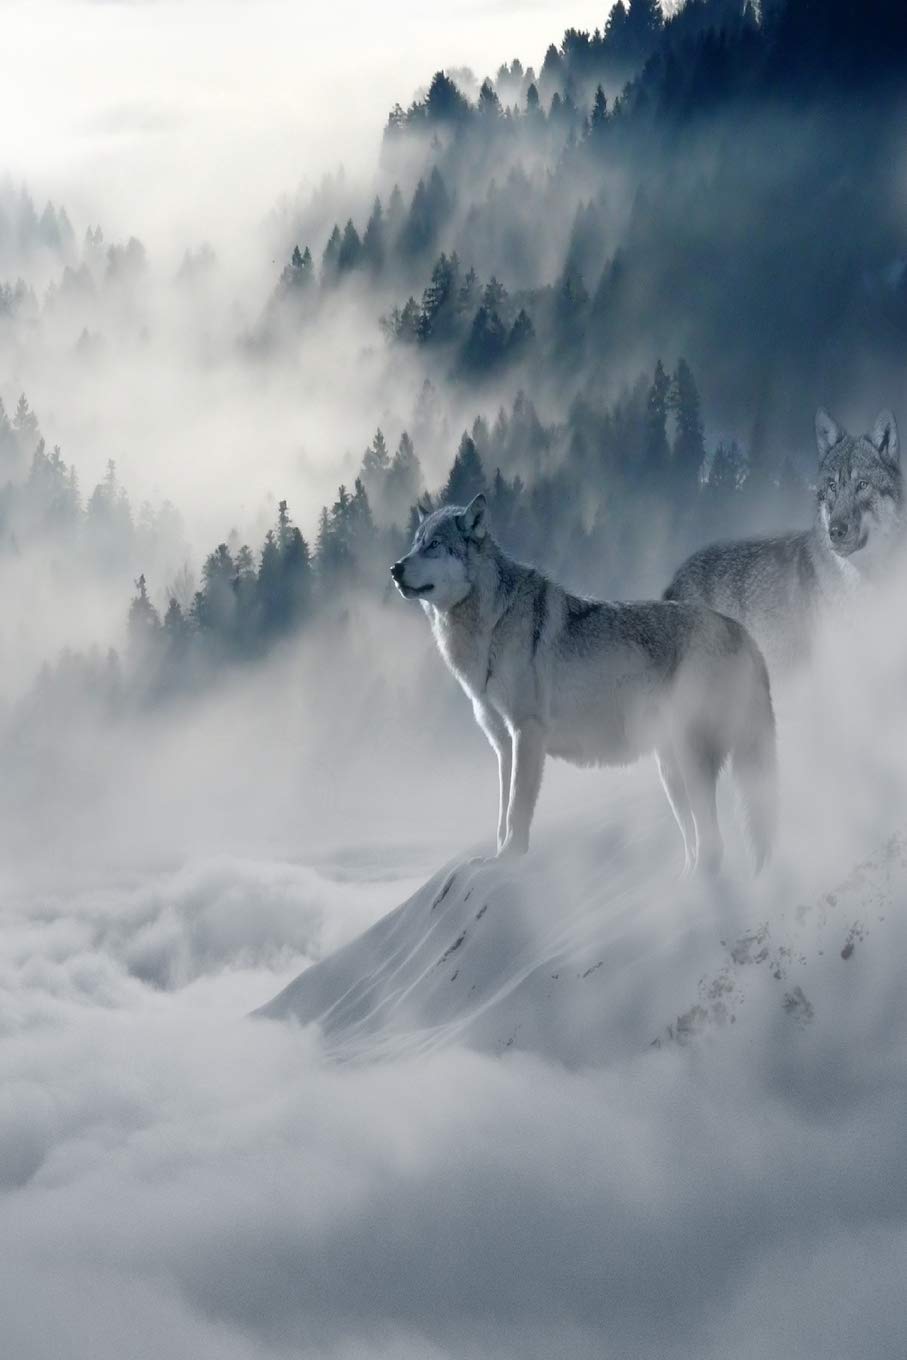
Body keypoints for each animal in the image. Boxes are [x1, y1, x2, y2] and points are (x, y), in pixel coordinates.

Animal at [391, 494, 777, 873]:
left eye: (434, 545)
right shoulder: (503, 744)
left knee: (714, 843)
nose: (395, 569)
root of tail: (743, 632)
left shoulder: (527, 733)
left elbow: (516, 811)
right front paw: (494, 857)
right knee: (698, 842)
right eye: (415, 544)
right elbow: (501, 814)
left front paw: (510, 857)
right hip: (670, 771)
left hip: (690, 759)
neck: (492, 623)